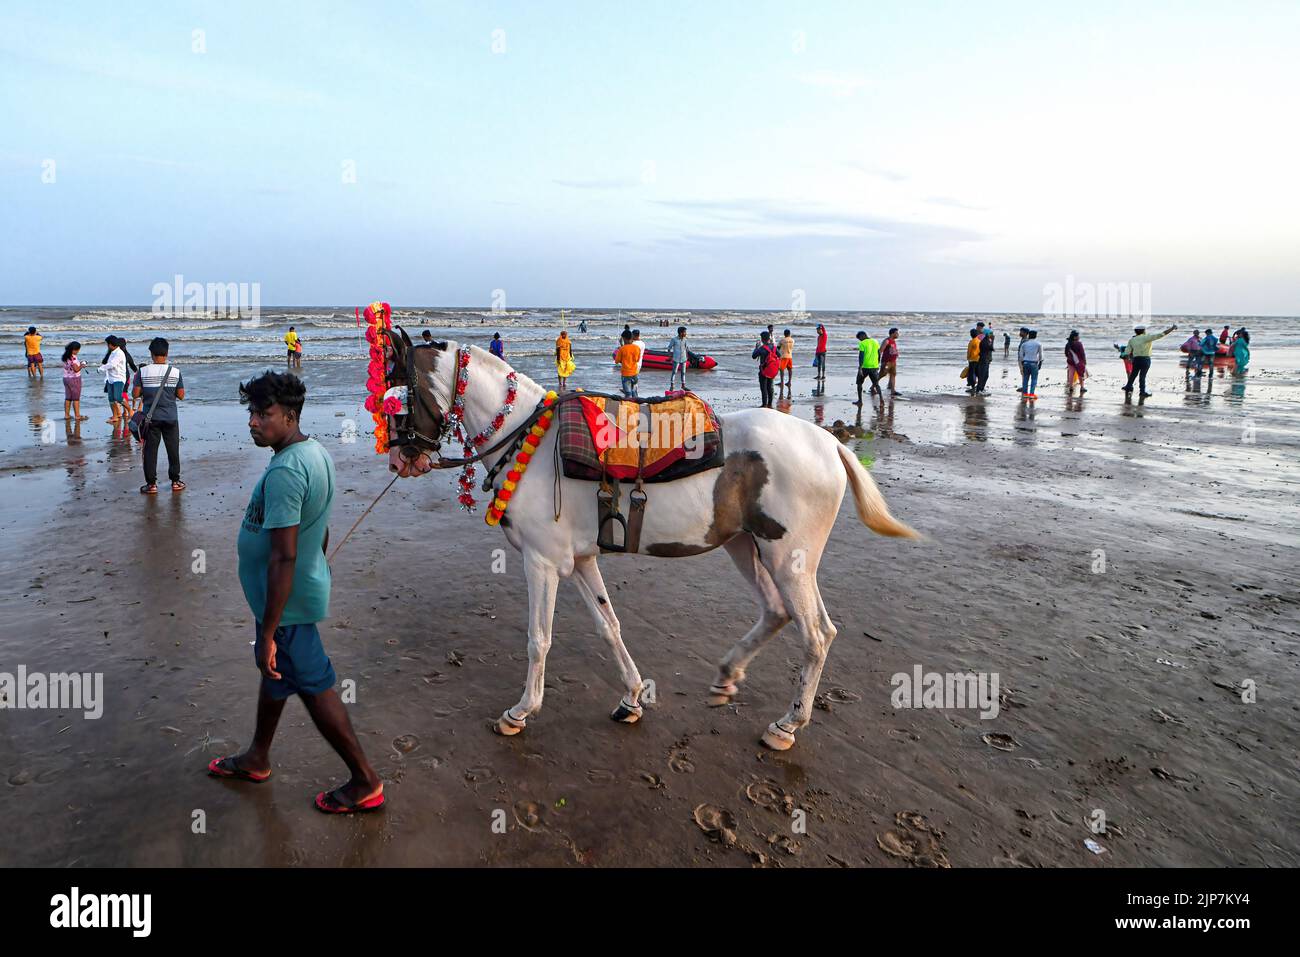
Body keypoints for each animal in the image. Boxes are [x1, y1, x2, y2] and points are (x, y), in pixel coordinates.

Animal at [384, 331, 918, 750]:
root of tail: (828, 443)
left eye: (395, 397)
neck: (525, 437)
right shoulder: (579, 561)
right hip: (745, 546)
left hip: (790, 559)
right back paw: (728, 676)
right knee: (775, 612)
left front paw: (521, 710)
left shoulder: (541, 561)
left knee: (816, 635)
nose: (400, 460)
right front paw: (633, 697)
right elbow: (609, 626)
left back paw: (788, 724)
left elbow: (539, 639)